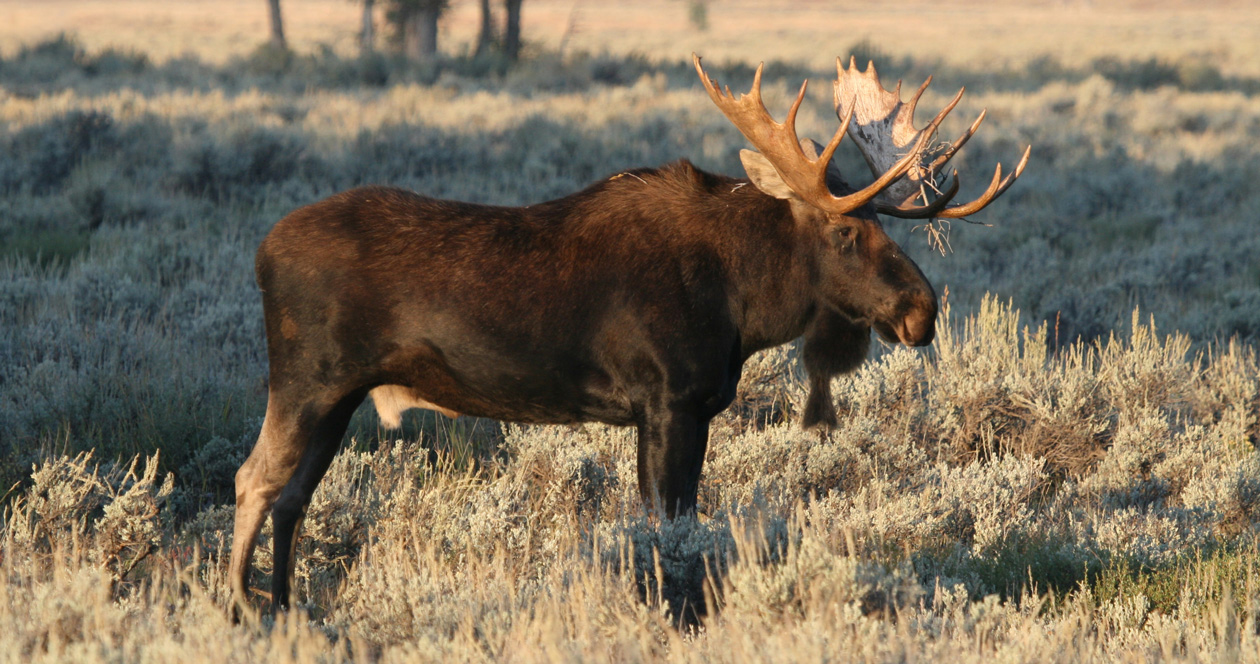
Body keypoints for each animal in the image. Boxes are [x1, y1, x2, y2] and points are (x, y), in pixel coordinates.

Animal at [228, 54, 1029, 617]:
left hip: (341, 396)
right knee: (254, 478)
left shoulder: (676, 408)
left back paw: (285, 606)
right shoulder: (669, 400)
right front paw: (677, 612)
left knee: (292, 495)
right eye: (845, 231)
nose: (921, 310)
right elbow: (668, 526)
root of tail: (261, 251)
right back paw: (239, 607)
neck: (744, 304)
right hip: (306, 379)